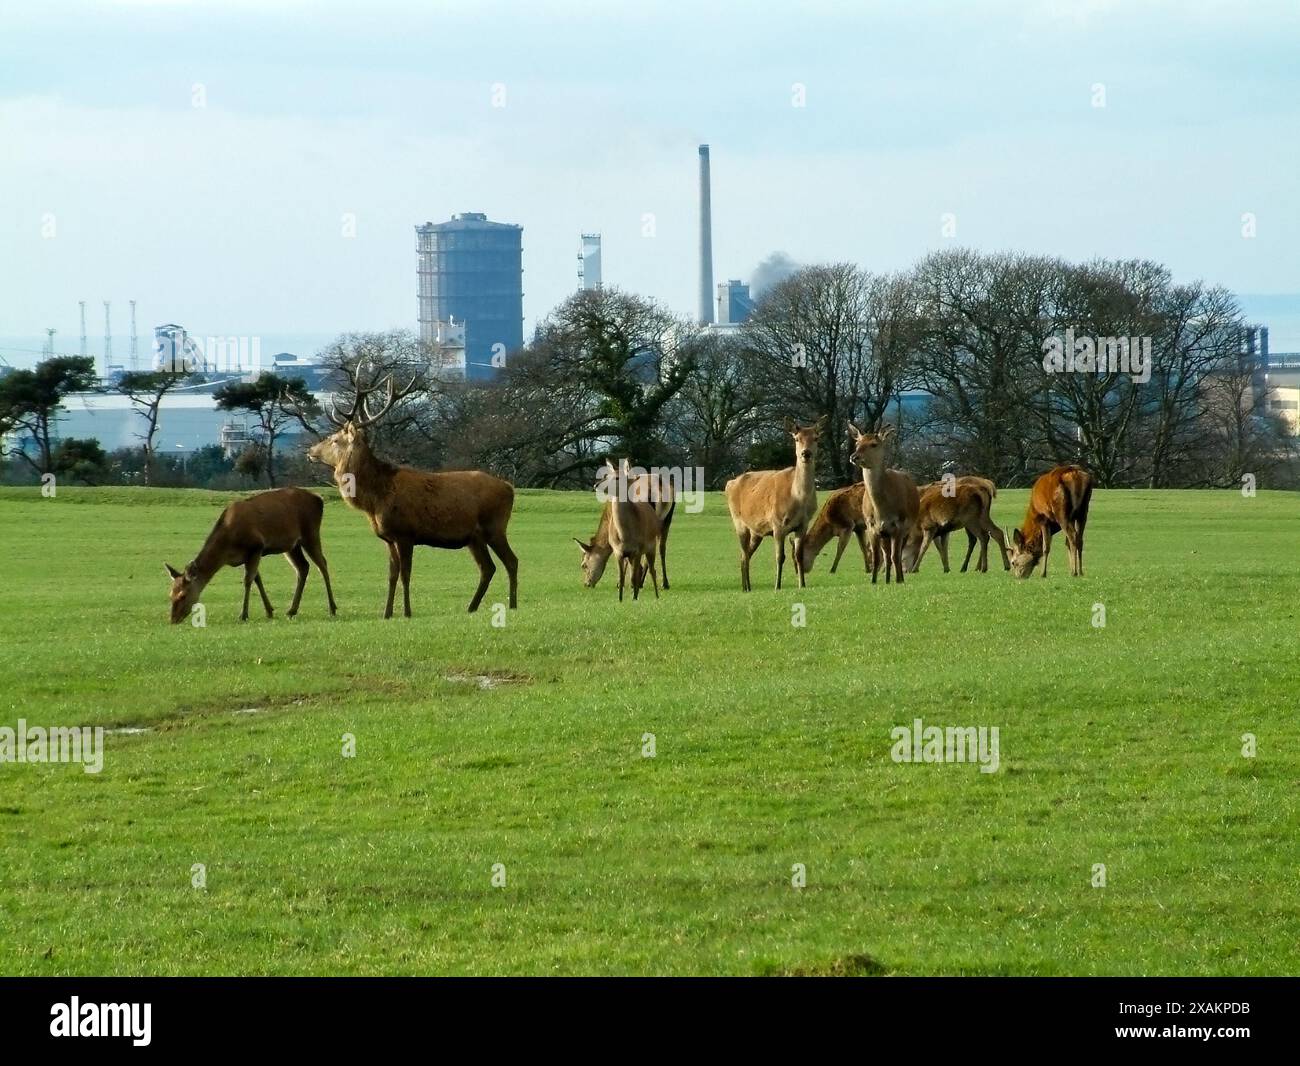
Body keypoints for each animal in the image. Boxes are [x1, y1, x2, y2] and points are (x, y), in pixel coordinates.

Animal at [165, 487, 337, 624]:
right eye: (170, 594)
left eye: (183, 595)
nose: (173, 619)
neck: (226, 549)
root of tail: (319, 499)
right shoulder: (245, 556)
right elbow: (256, 578)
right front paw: (269, 611)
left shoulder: (256, 546)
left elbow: (248, 580)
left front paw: (243, 615)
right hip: (292, 545)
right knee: (303, 567)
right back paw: (291, 610)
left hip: (310, 532)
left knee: (322, 564)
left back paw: (332, 608)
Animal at [307, 371, 518, 615]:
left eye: (334, 439)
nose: (310, 451)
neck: (375, 500)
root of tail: (509, 488)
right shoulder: (388, 538)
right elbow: (391, 576)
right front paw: (386, 613)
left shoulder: (405, 533)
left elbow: (405, 575)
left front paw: (407, 612)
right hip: (474, 537)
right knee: (488, 568)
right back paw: (471, 607)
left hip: (495, 526)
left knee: (511, 561)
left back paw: (512, 604)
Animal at [592, 459, 664, 601]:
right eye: (606, 475)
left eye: (617, 477)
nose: (595, 485)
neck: (625, 535)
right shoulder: (618, 551)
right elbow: (622, 577)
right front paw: (620, 600)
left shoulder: (638, 550)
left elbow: (634, 576)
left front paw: (634, 599)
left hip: (651, 546)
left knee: (652, 570)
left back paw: (657, 596)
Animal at [724, 416, 828, 591]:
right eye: (797, 438)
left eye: (816, 438)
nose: (806, 453)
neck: (798, 499)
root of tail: (729, 483)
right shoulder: (777, 524)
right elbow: (780, 557)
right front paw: (777, 586)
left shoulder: (803, 524)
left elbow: (798, 555)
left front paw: (802, 584)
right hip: (738, 522)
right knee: (744, 554)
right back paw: (746, 588)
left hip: (756, 532)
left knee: (745, 554)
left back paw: (748, 587)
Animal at [846, 422, 920, 584]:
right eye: (857, 443)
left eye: (874, 444)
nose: (854, 456)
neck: (882, 511)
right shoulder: (872, 526)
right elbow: (876, 557)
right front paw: (873, 582)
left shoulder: (899, 525)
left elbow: (896, 556)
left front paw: (899, 580)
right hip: (885, 534)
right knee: (886, 556)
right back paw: (886, 580)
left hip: (907, 528)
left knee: (895, 554)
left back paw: (898, 577)